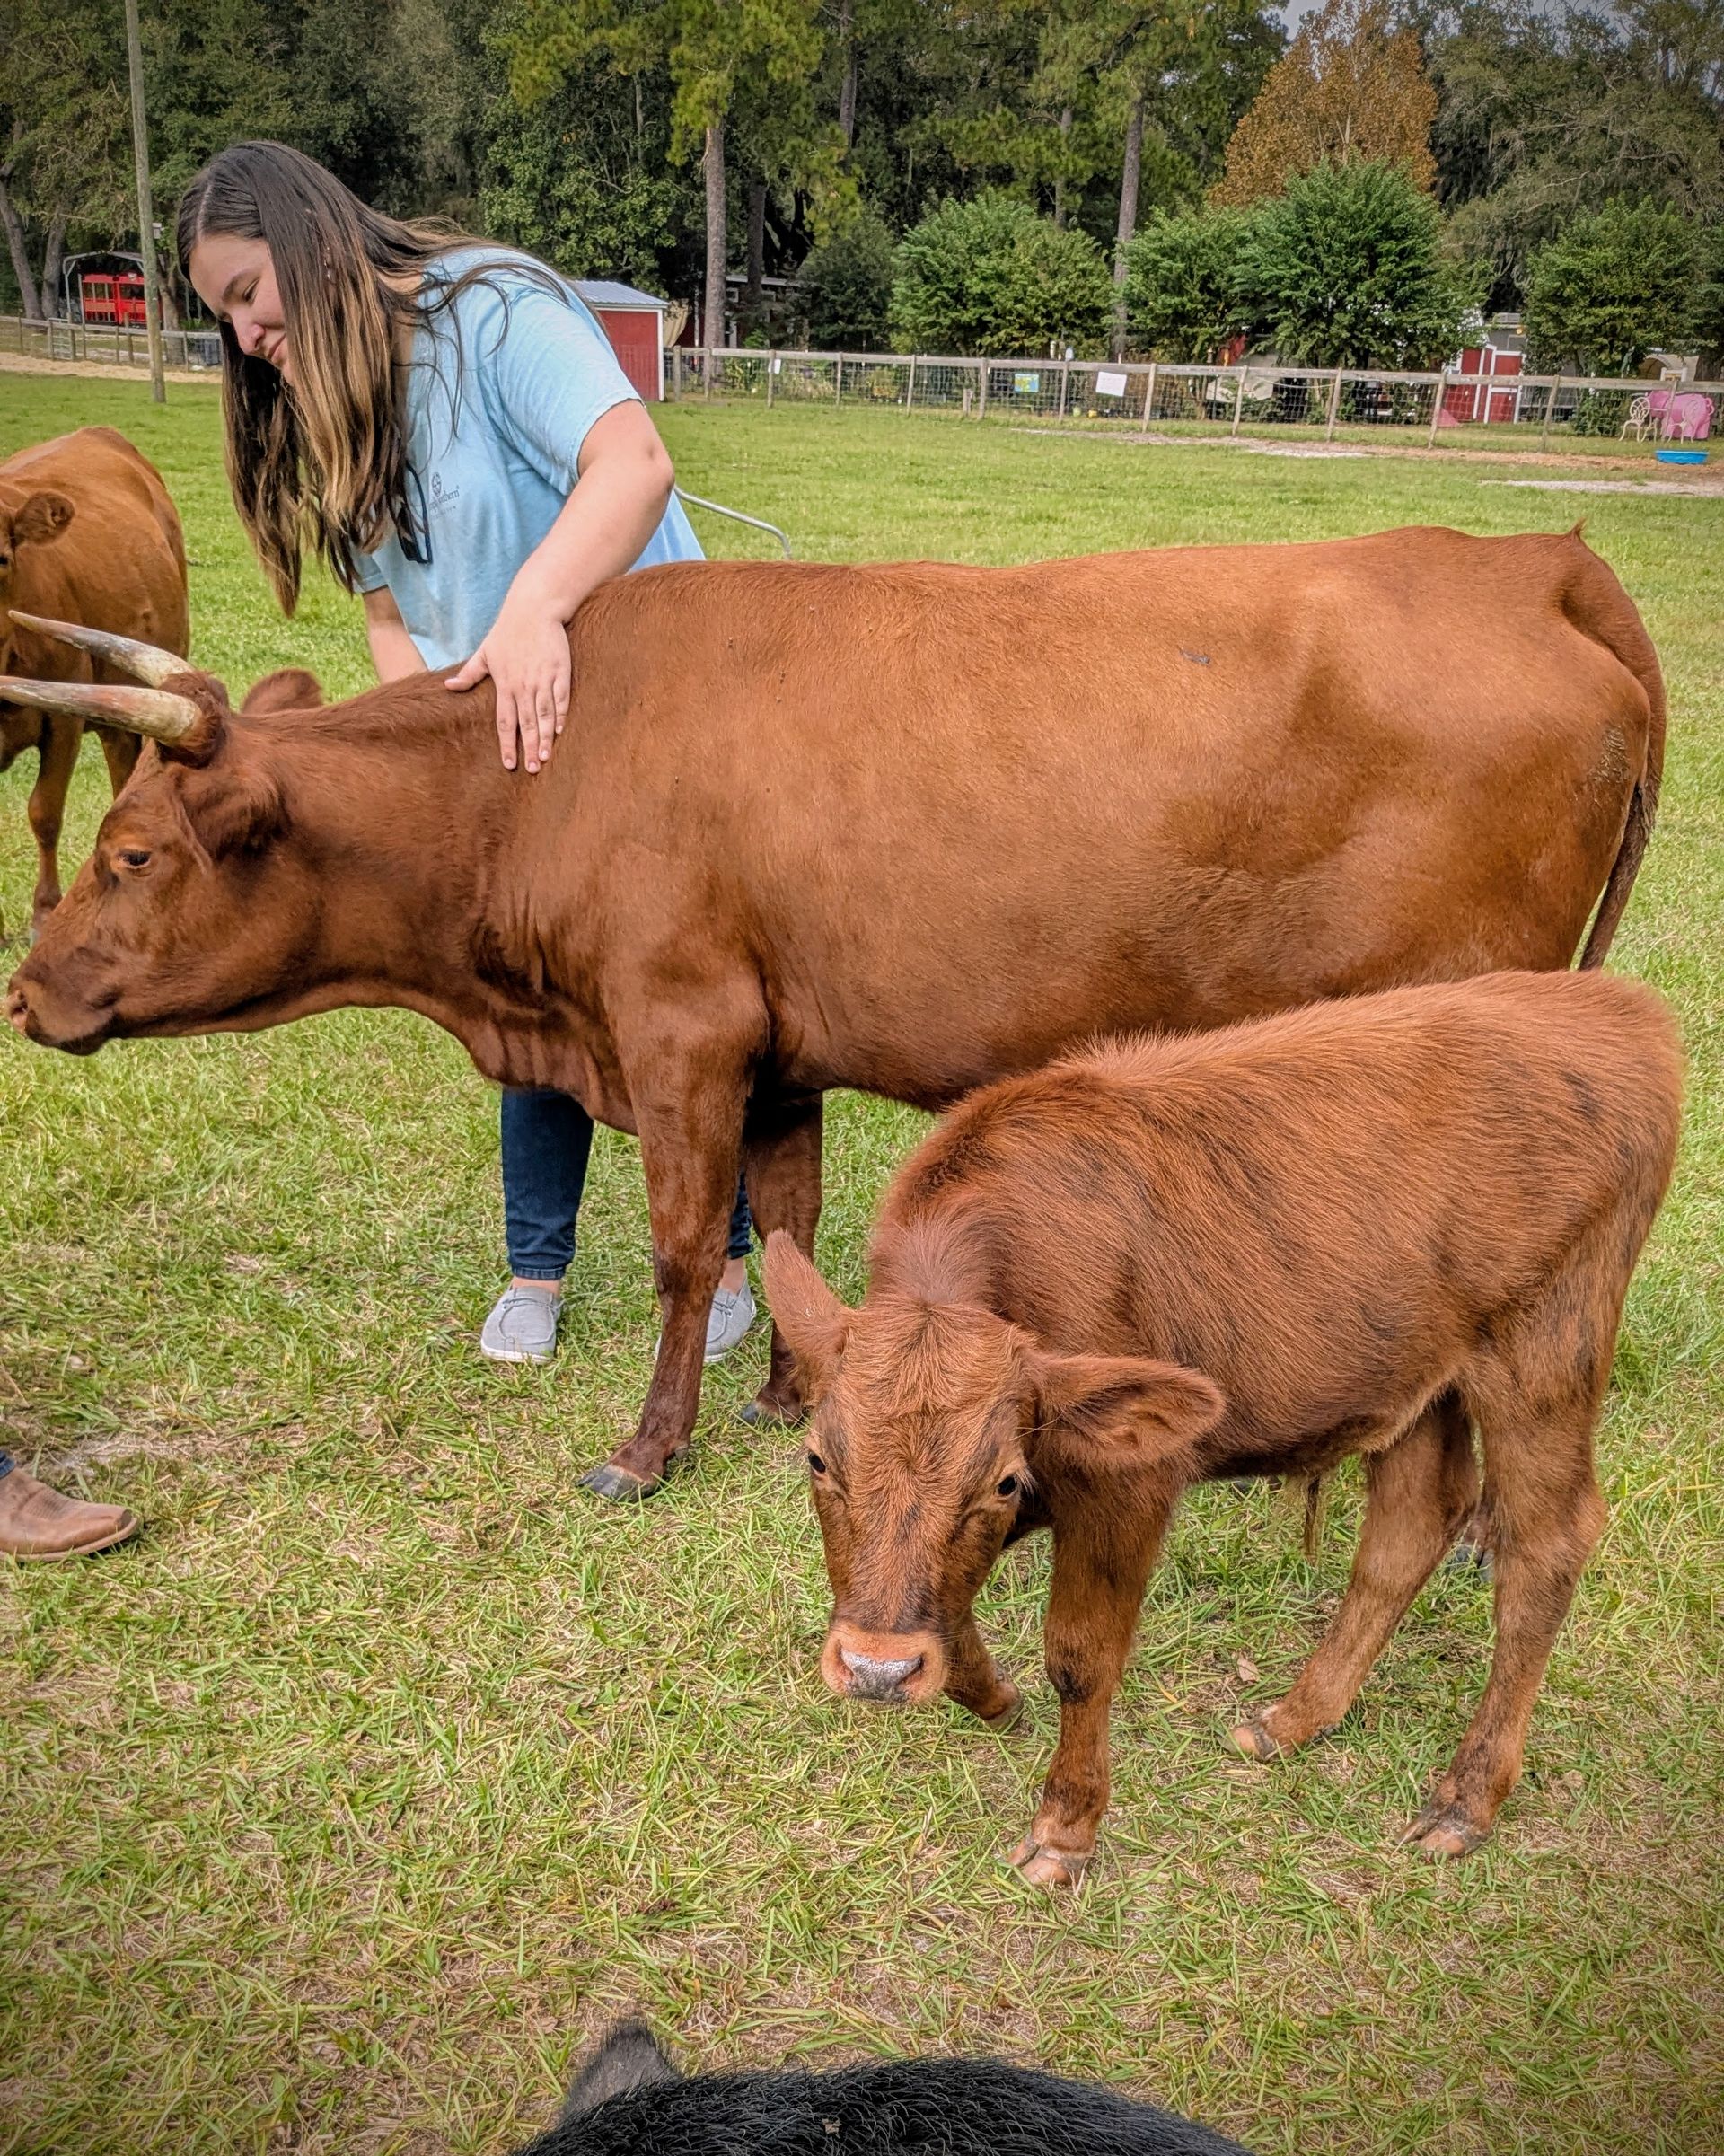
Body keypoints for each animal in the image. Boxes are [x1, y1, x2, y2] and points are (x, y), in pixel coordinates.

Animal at [4, 527, 1664, 1503]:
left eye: (130, 853)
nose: (23, 987)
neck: (544, 773)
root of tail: (1531, 559)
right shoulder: (776, 1050)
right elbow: (786, 1215)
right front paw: (788, 1394)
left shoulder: (678, 1030)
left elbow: (688, 1248)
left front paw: (648, 1449)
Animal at [762, 971, 1681, 1886]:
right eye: (817, 1459)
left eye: (1003, 1476)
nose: (877, 1669)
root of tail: (1615, 1008)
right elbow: (950, 1619)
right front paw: (995, 1700)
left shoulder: (1126, 1485)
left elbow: (1081, 1660)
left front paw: (1066, 1827)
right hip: (1420, 1378)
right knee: (1411, 1524)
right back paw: (1297, 1718)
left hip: (1546, 1352)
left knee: (1545, 1546)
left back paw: (1466, 1796)